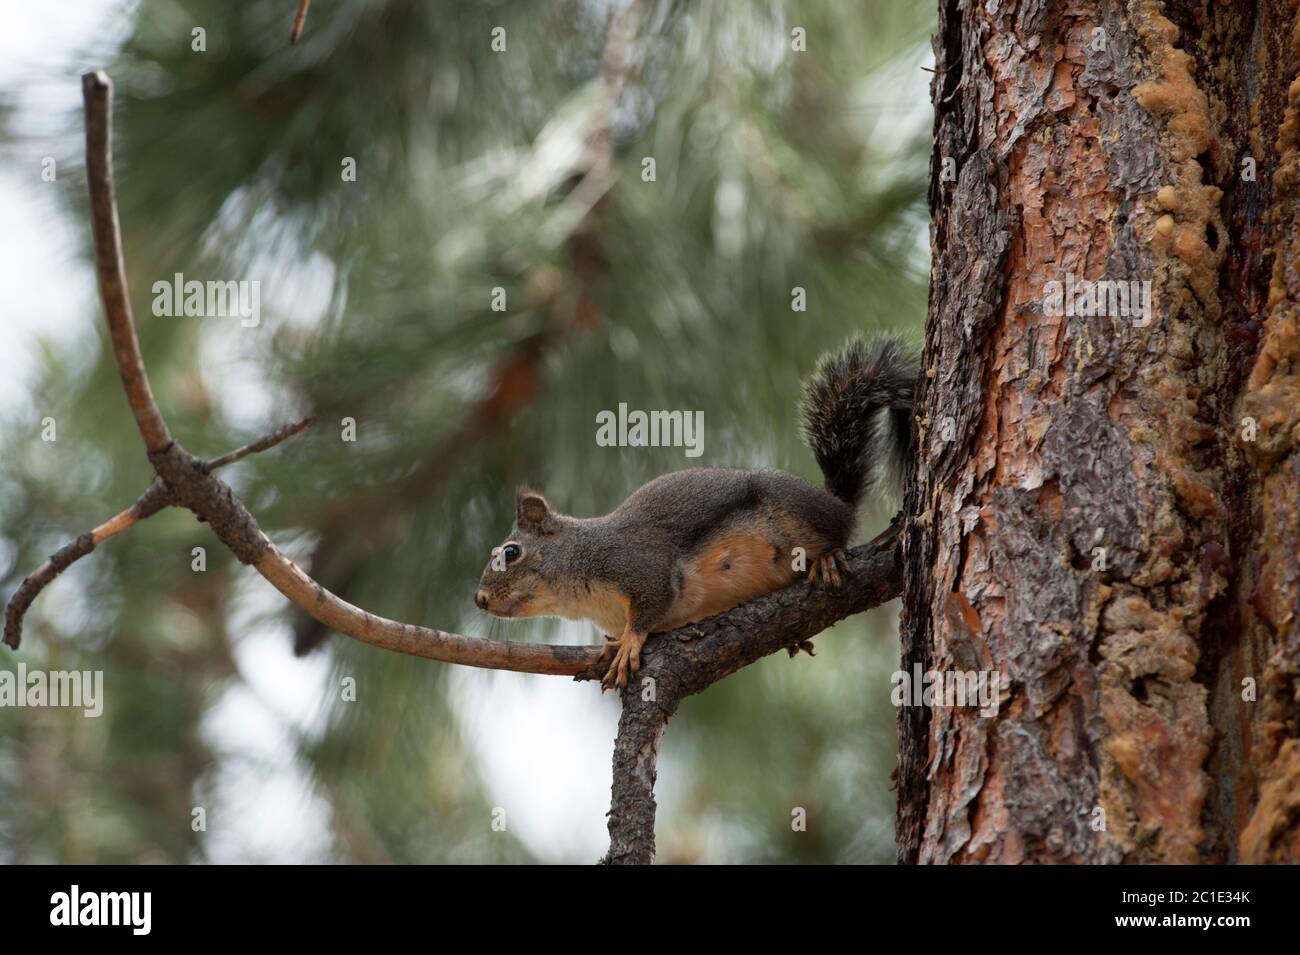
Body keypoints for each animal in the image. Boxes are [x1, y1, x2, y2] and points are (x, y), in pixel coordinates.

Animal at [475, 336, 918, 689]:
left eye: (511, 552)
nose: (479, 600)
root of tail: (836, 503)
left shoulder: (639, 566)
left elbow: (650, 606)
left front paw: (629, 644)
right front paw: (610, 648)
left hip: (793, 510)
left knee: (836, 535)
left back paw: (827, 558)